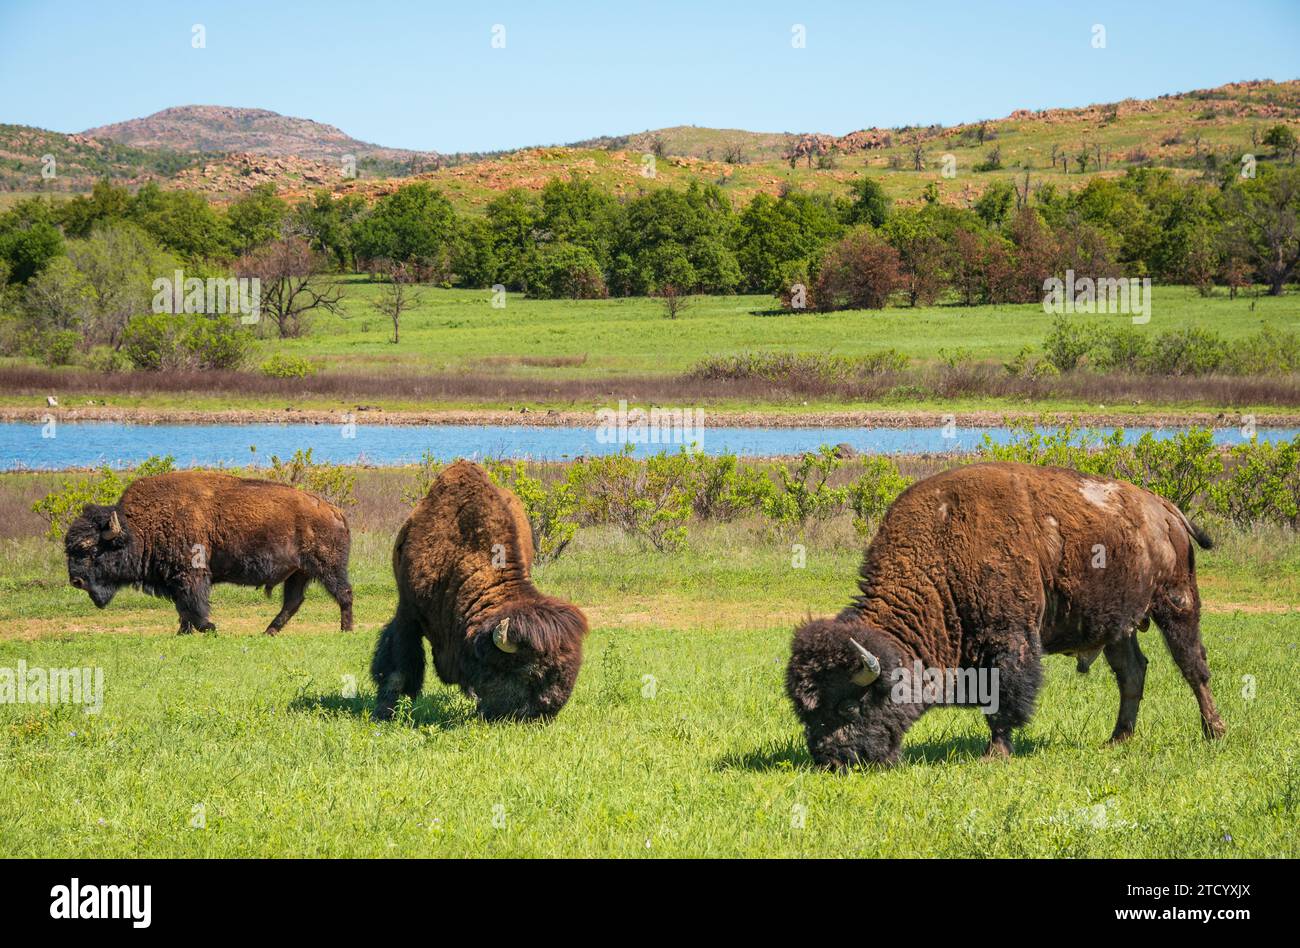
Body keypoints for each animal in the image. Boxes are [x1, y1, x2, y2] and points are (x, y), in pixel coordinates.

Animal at [64, 471, 353, 635]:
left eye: (90, 549)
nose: (75, 580)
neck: (139, 526)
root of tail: (334, 511)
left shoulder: (191, 574)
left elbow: (193, 604)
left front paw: (210, 628)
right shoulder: (175, 579)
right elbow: (182, 606)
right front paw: (184, 632)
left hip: (327, 568)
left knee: (344, 593)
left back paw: (346, 630)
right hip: (299, 573)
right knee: (293, 601)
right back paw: (269, 631)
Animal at [786, 462, 1226, 770]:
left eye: (847, 706)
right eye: (805, 712)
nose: (831, 760)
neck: (942, 553)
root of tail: (1164, 509)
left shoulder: (1008, 641)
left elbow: (1003, 699)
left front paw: (995, 754)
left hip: (1177, 602)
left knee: (1193, 666)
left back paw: (1214, 732)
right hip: (1119, 626)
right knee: (1132, 673)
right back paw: (1117, 739)